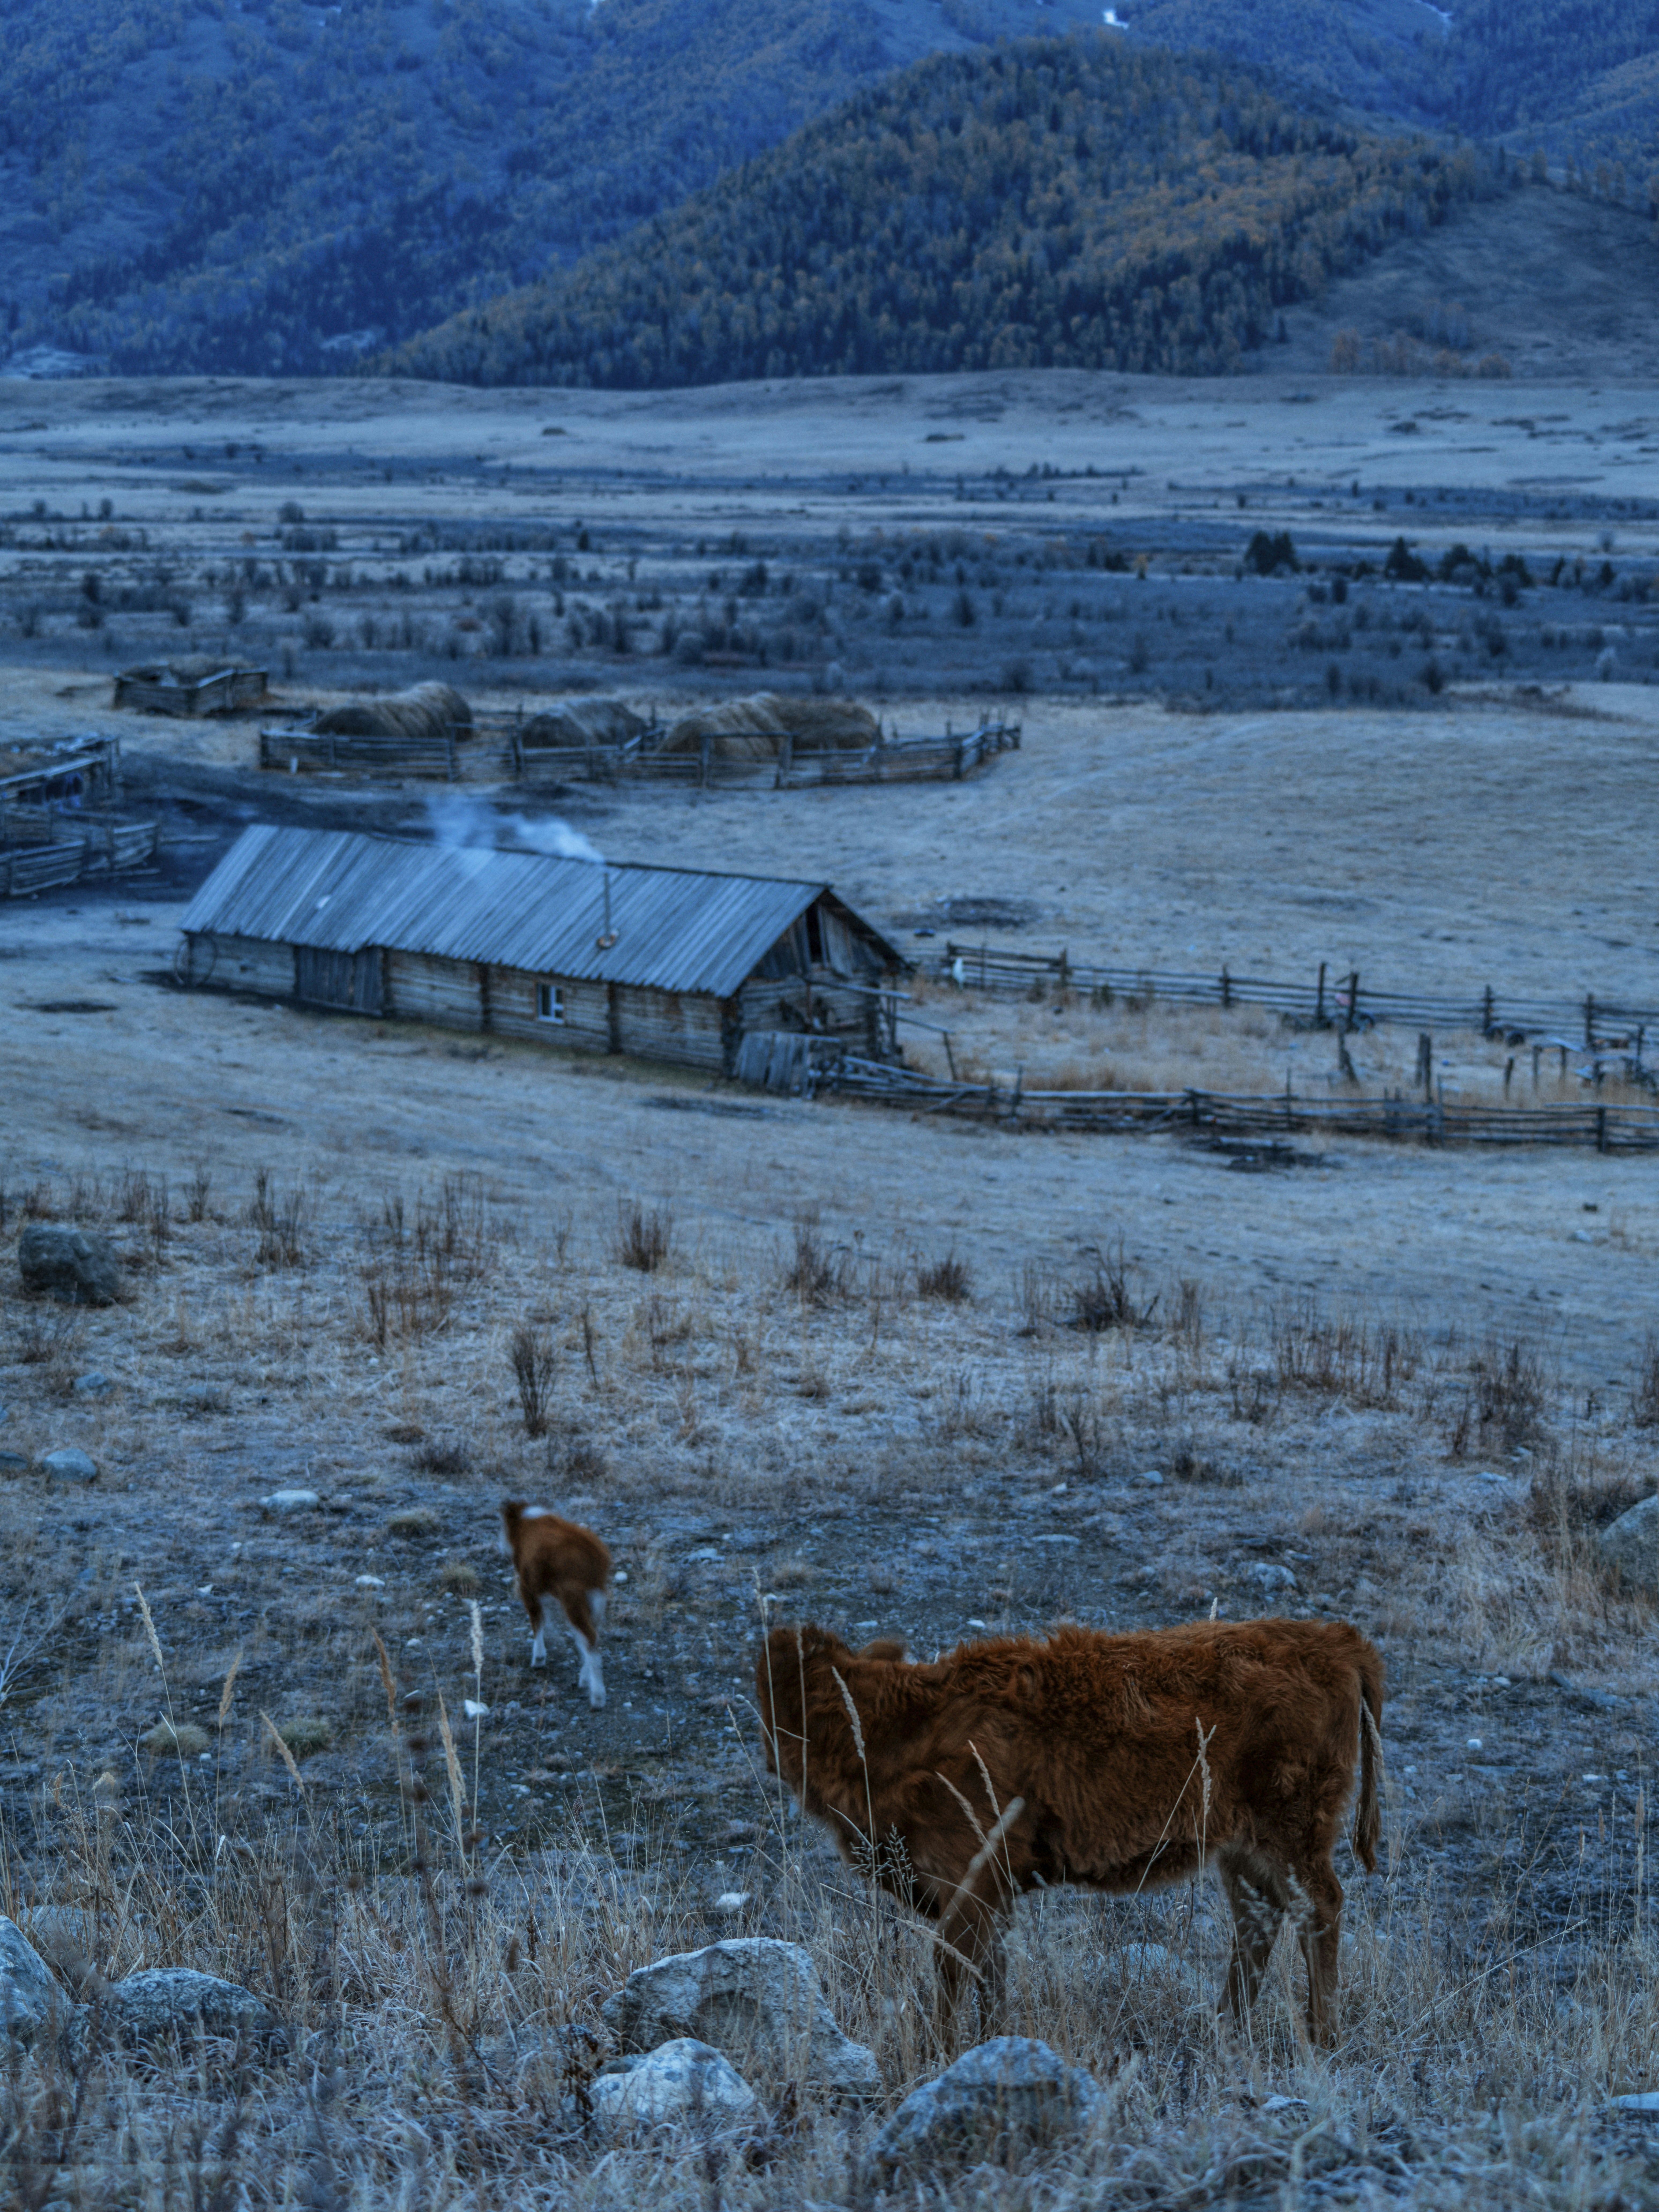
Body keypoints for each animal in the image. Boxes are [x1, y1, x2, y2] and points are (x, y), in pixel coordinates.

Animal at [756, 1615, 1382, 2047]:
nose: (773, 1757)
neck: (899, 1725)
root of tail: (1334, 1639)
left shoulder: (969, 1884)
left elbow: (953, 1969)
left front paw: (941, 2054)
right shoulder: (992, 1894)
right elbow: (990, 1973)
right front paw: (990, 2044)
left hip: (1292, 1836)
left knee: (1319, 1908)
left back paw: (1321, 2036)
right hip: (1241, 1849)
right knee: (1258, 1922)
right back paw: (1225, 2028)